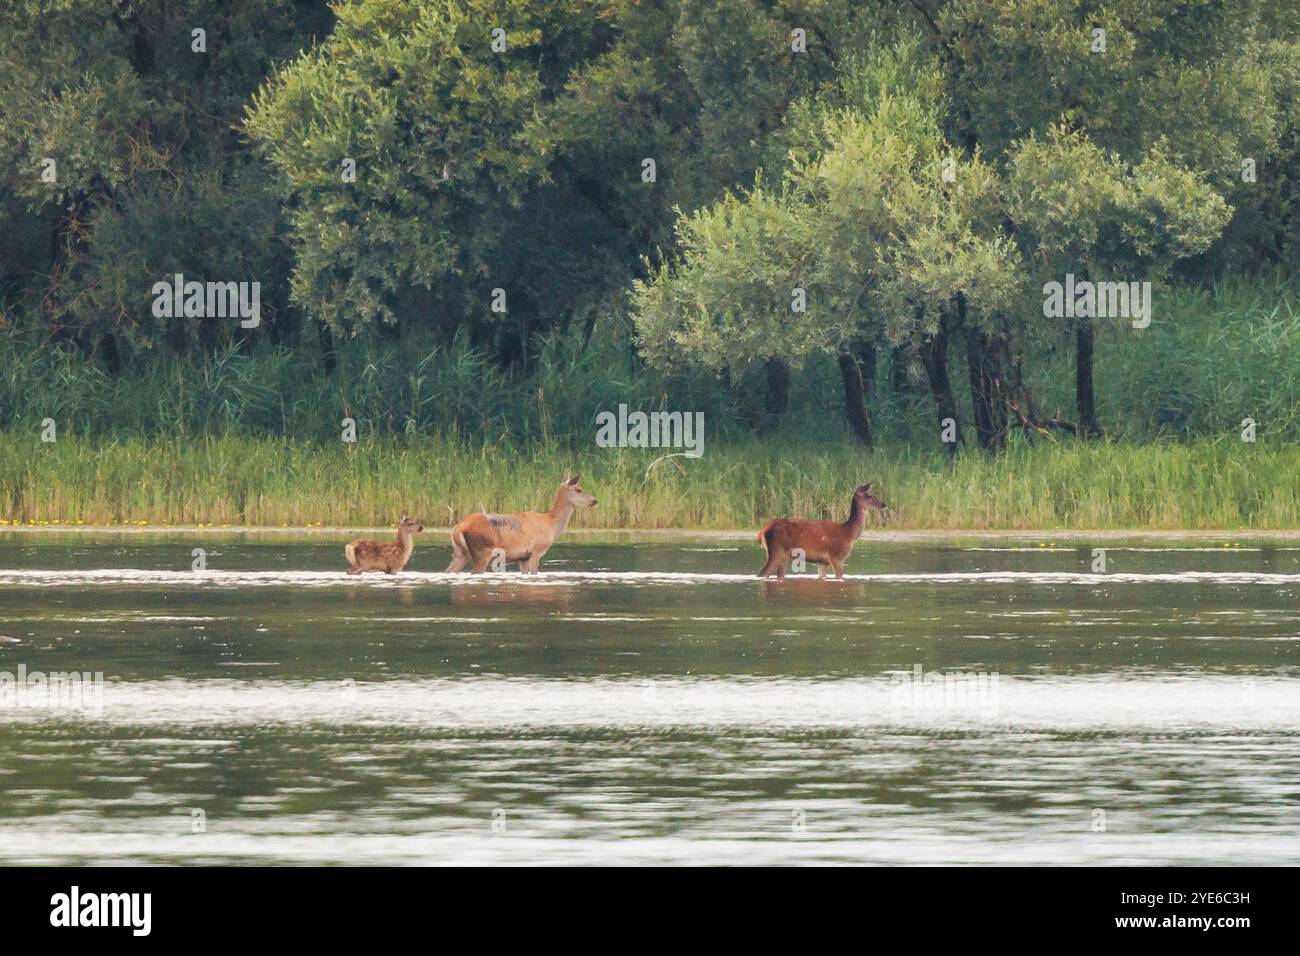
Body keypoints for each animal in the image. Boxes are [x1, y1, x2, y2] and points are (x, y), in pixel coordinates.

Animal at [446, 474, 597, 574]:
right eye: (579, 489)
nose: (595, 500)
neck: (550, 524)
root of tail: (458, 528)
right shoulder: (536, 550)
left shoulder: (523, 557)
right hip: (482, 550)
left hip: (460, 553)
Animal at [756, 483, 887, 580]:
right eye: (869, 495)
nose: (884, 504)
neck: (849, 533)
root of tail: (764, 530)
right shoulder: (836, 556)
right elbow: (840, 576)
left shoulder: (822, 562)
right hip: (778, 551)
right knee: (762, 573)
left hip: (780, 555)